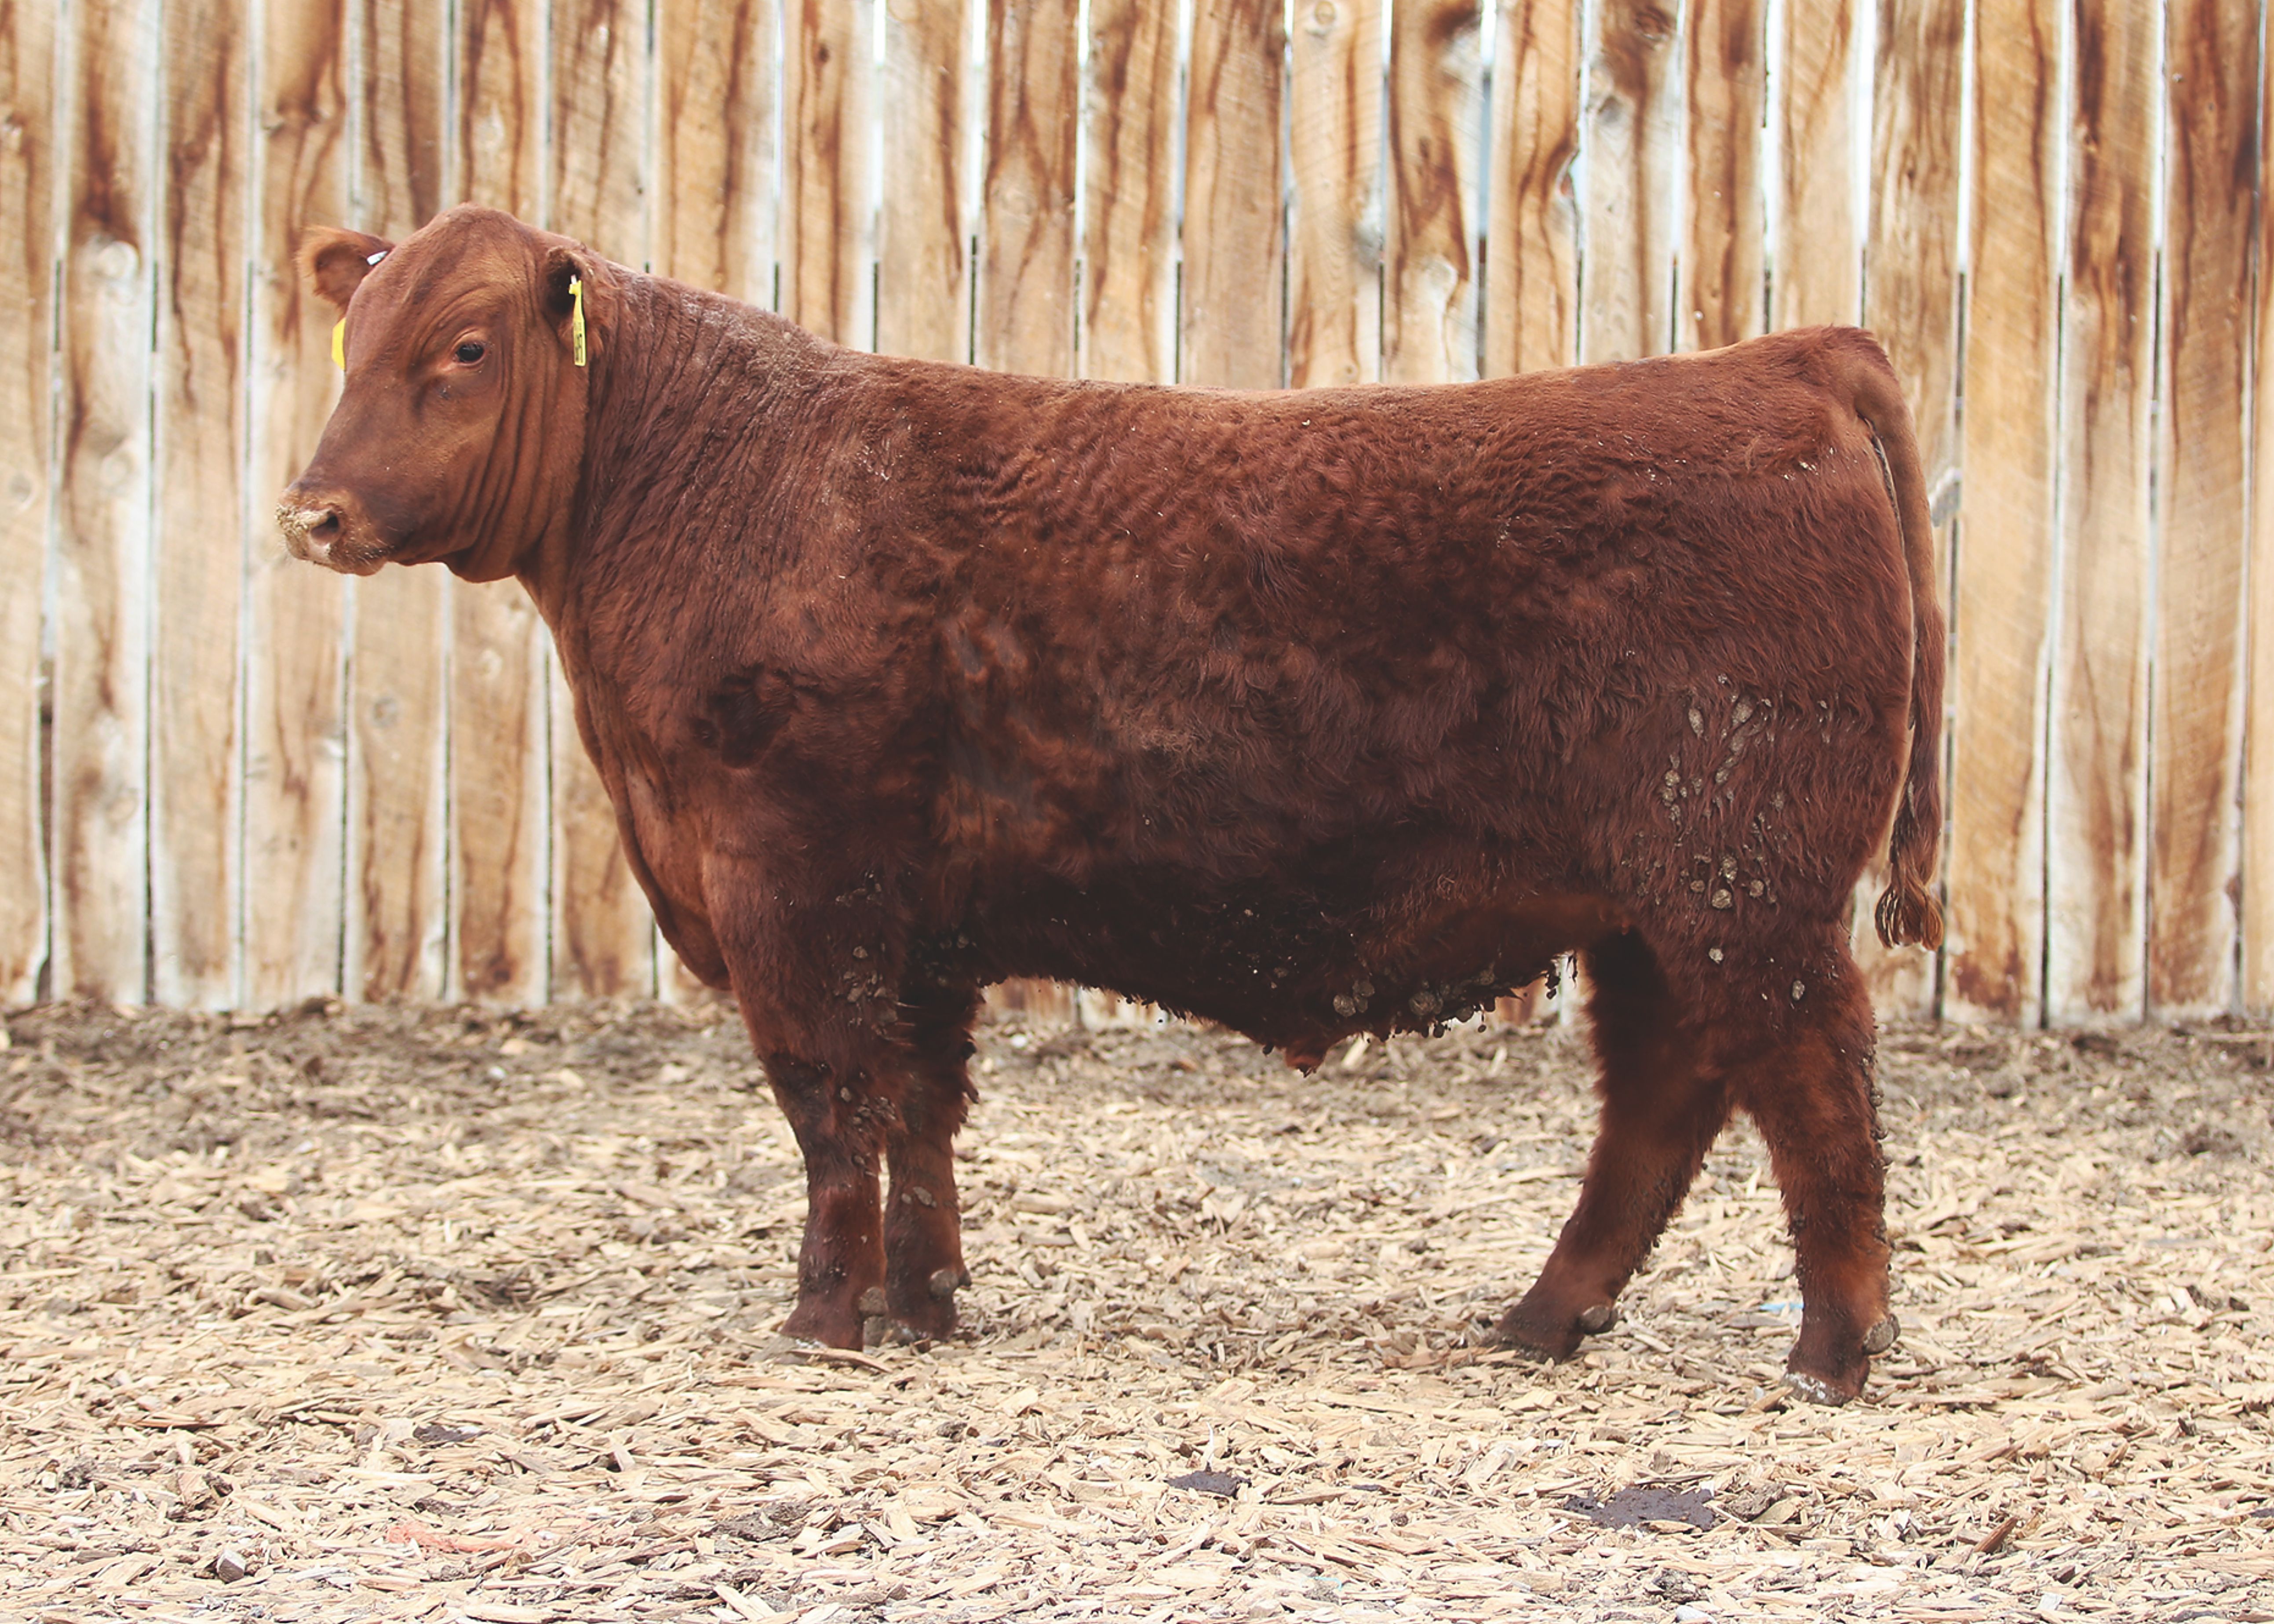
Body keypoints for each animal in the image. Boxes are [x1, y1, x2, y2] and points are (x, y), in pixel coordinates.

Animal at [279, 205, 1944, 1405]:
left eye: (467, 346)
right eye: (353, 335)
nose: (313, 511)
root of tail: (1787, 357)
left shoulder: (790, 886)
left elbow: (829, 1105)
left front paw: (822, 1319)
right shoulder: (917, 924)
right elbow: (919, 1108)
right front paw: (926, 1303)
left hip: (1739, 884)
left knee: (1812, 1088)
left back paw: (1829, 1354)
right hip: (1656, 912)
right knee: (1664, 1100)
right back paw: (1541, 1319)